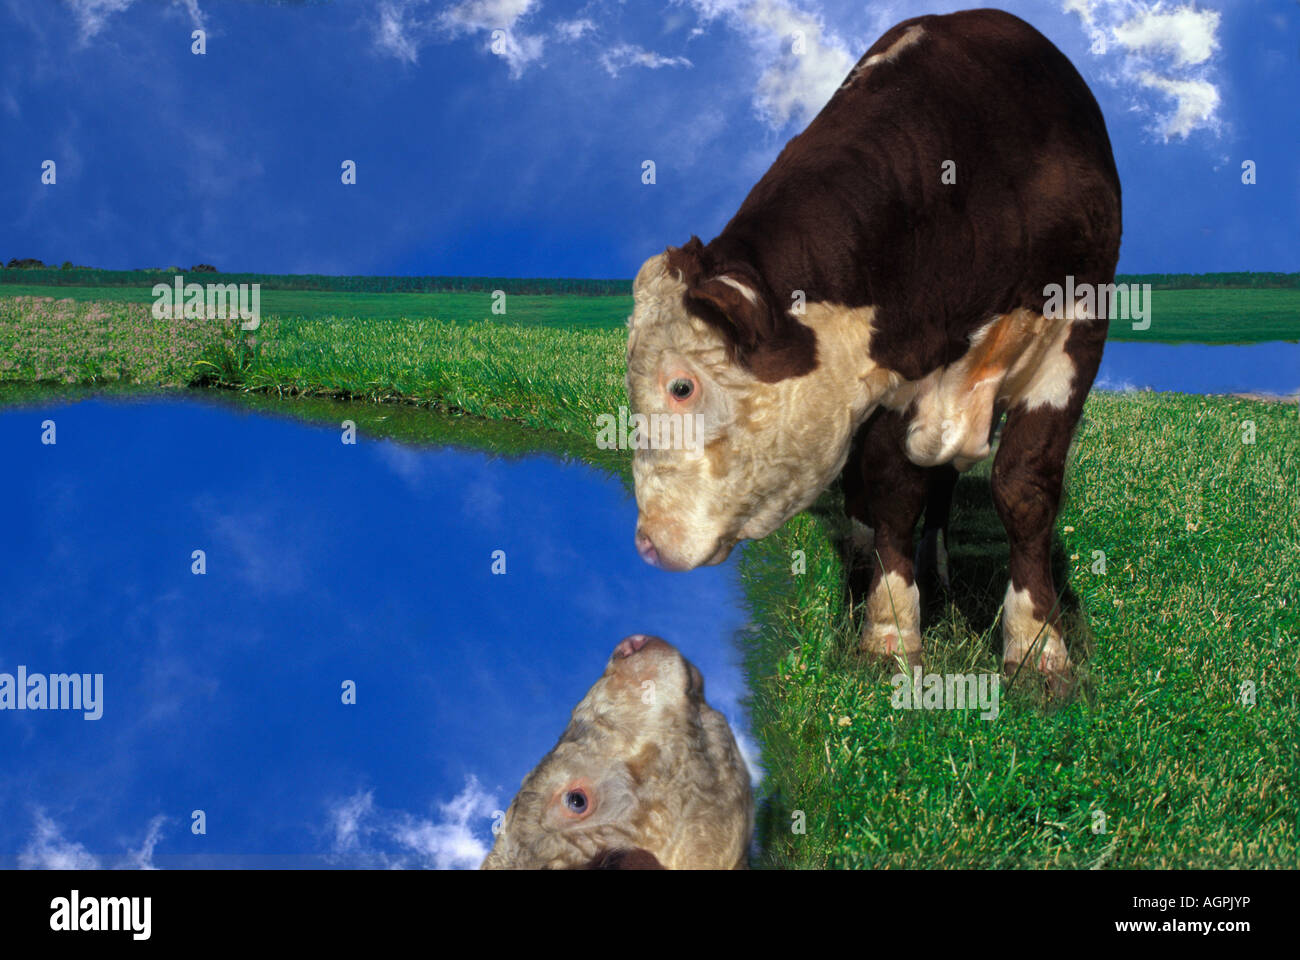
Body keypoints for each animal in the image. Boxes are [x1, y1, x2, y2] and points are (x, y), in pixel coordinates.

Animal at [625, 9, 1122, 690]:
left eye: (682, 386)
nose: (648, 542)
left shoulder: (1078, 331)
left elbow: (1025, 486)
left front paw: (1038, 645)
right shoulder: (894, 366)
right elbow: (890, 487)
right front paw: (889, 628)